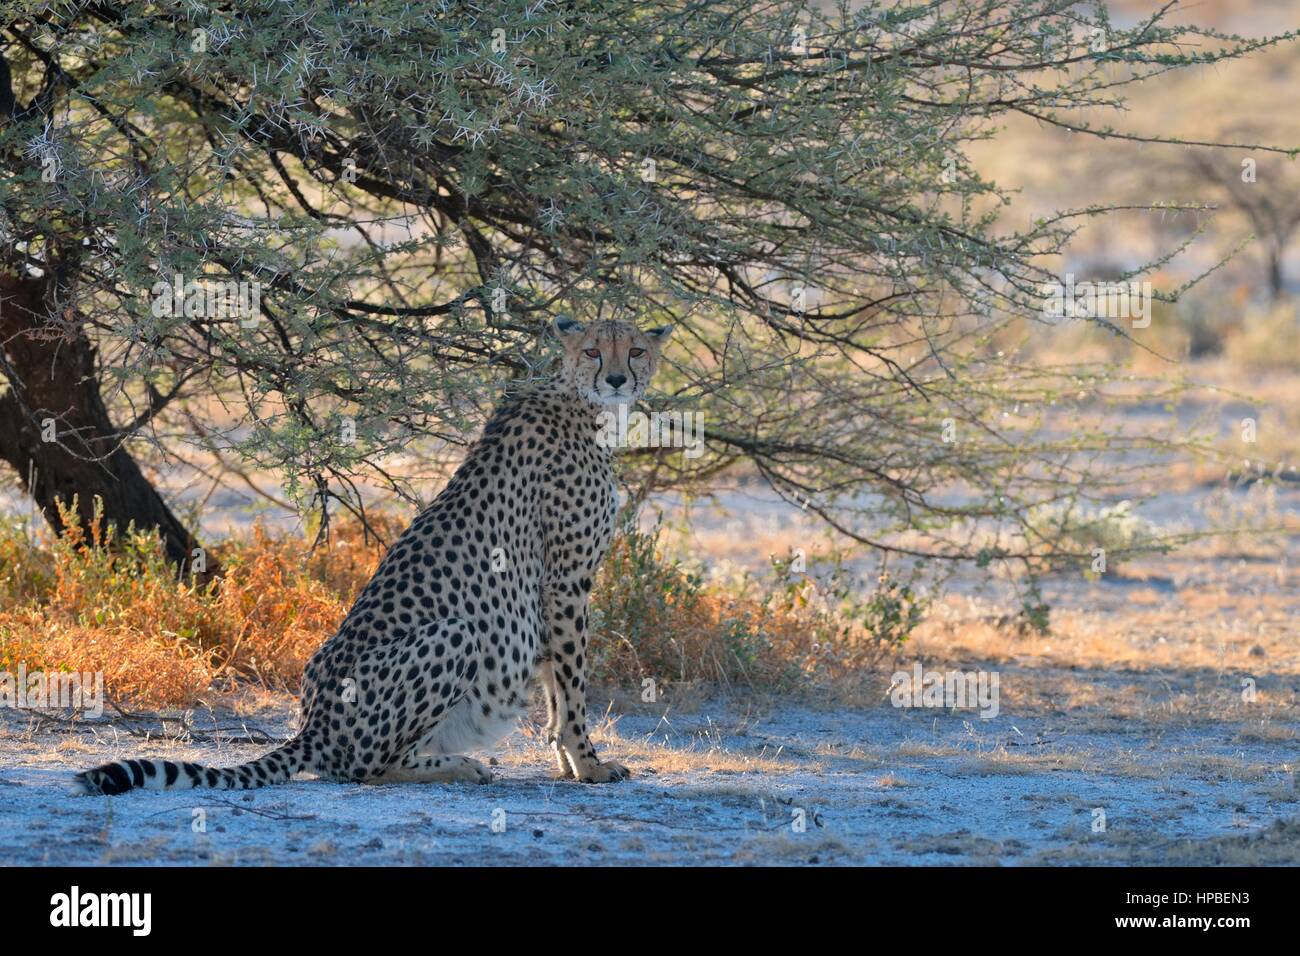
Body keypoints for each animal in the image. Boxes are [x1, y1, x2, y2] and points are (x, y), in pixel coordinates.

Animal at [73, 317, 672, 794]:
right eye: (593, 351)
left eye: (635, 351)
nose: (616, 379)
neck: (581, 403)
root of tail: (312, 723)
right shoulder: (567, 580)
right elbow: (571, 687)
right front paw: (589, 766)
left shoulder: (553, 589)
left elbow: (553, 686)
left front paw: (568, 766)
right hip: (455, 633)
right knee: (365, 767)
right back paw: (459, 765)